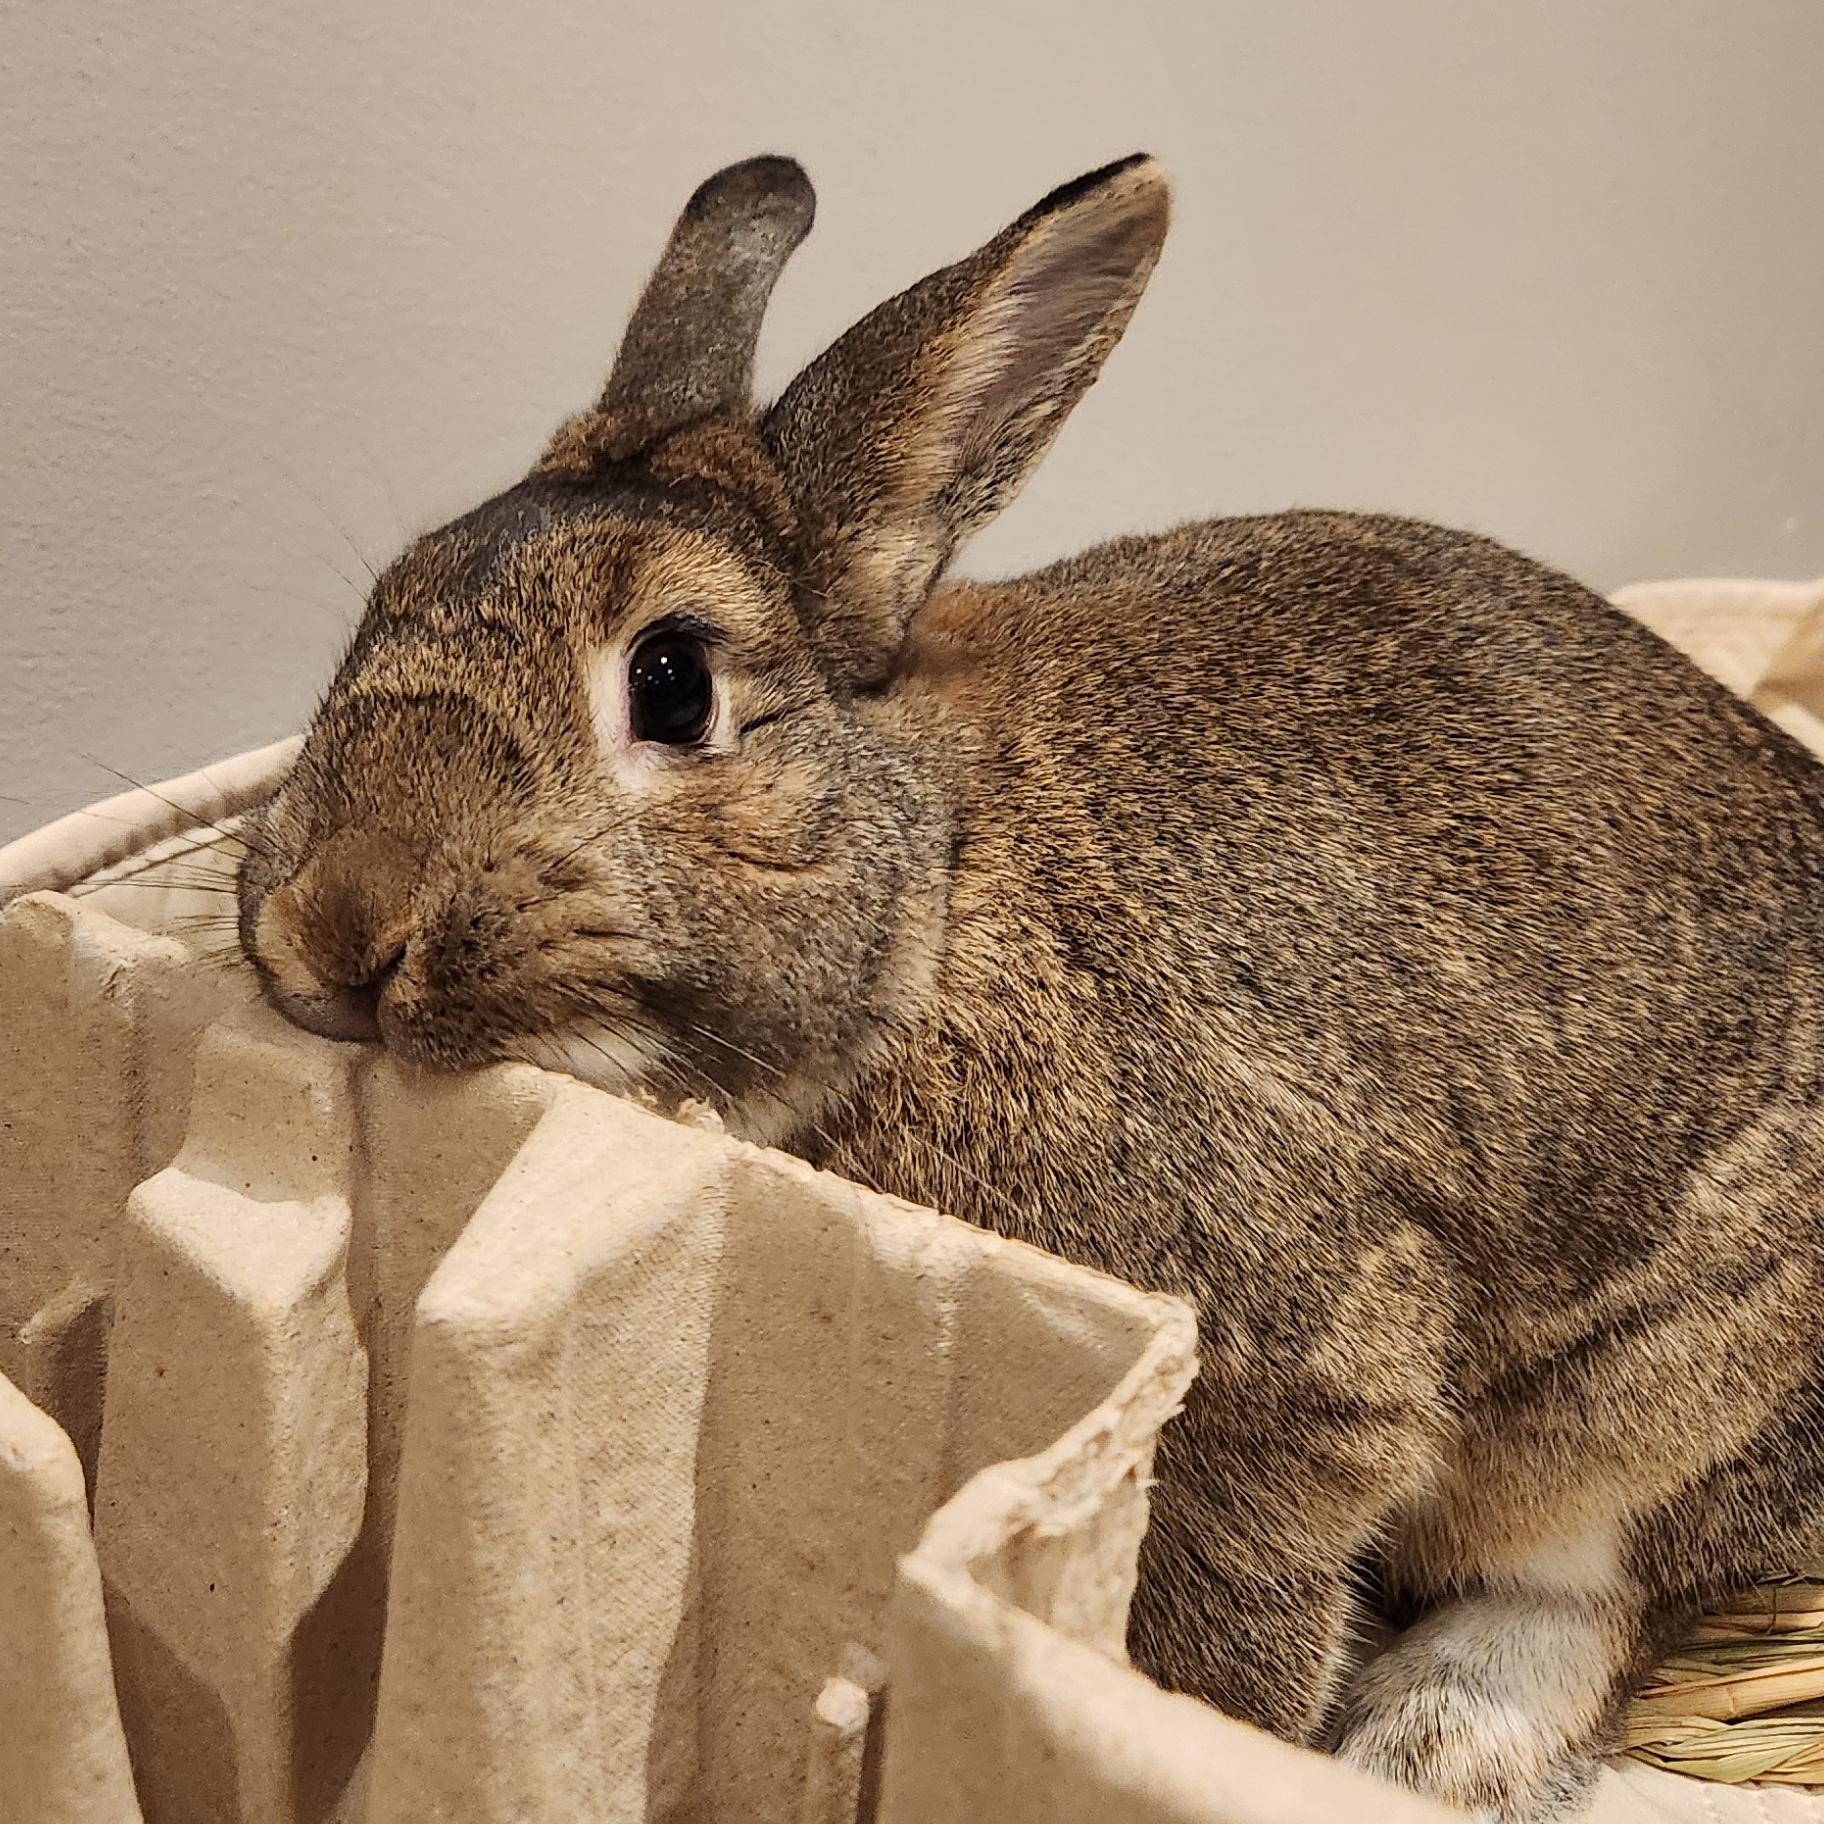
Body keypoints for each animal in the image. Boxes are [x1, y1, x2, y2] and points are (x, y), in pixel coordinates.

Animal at [235, 151, 1824, 1821]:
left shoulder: (1286, 1385)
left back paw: (1429, 1744)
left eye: (671, 681)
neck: (937, 894)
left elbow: (1218, 1644)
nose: (333, 928)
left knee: (1589, 1592)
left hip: (1649, 1403)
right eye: (384, 605)